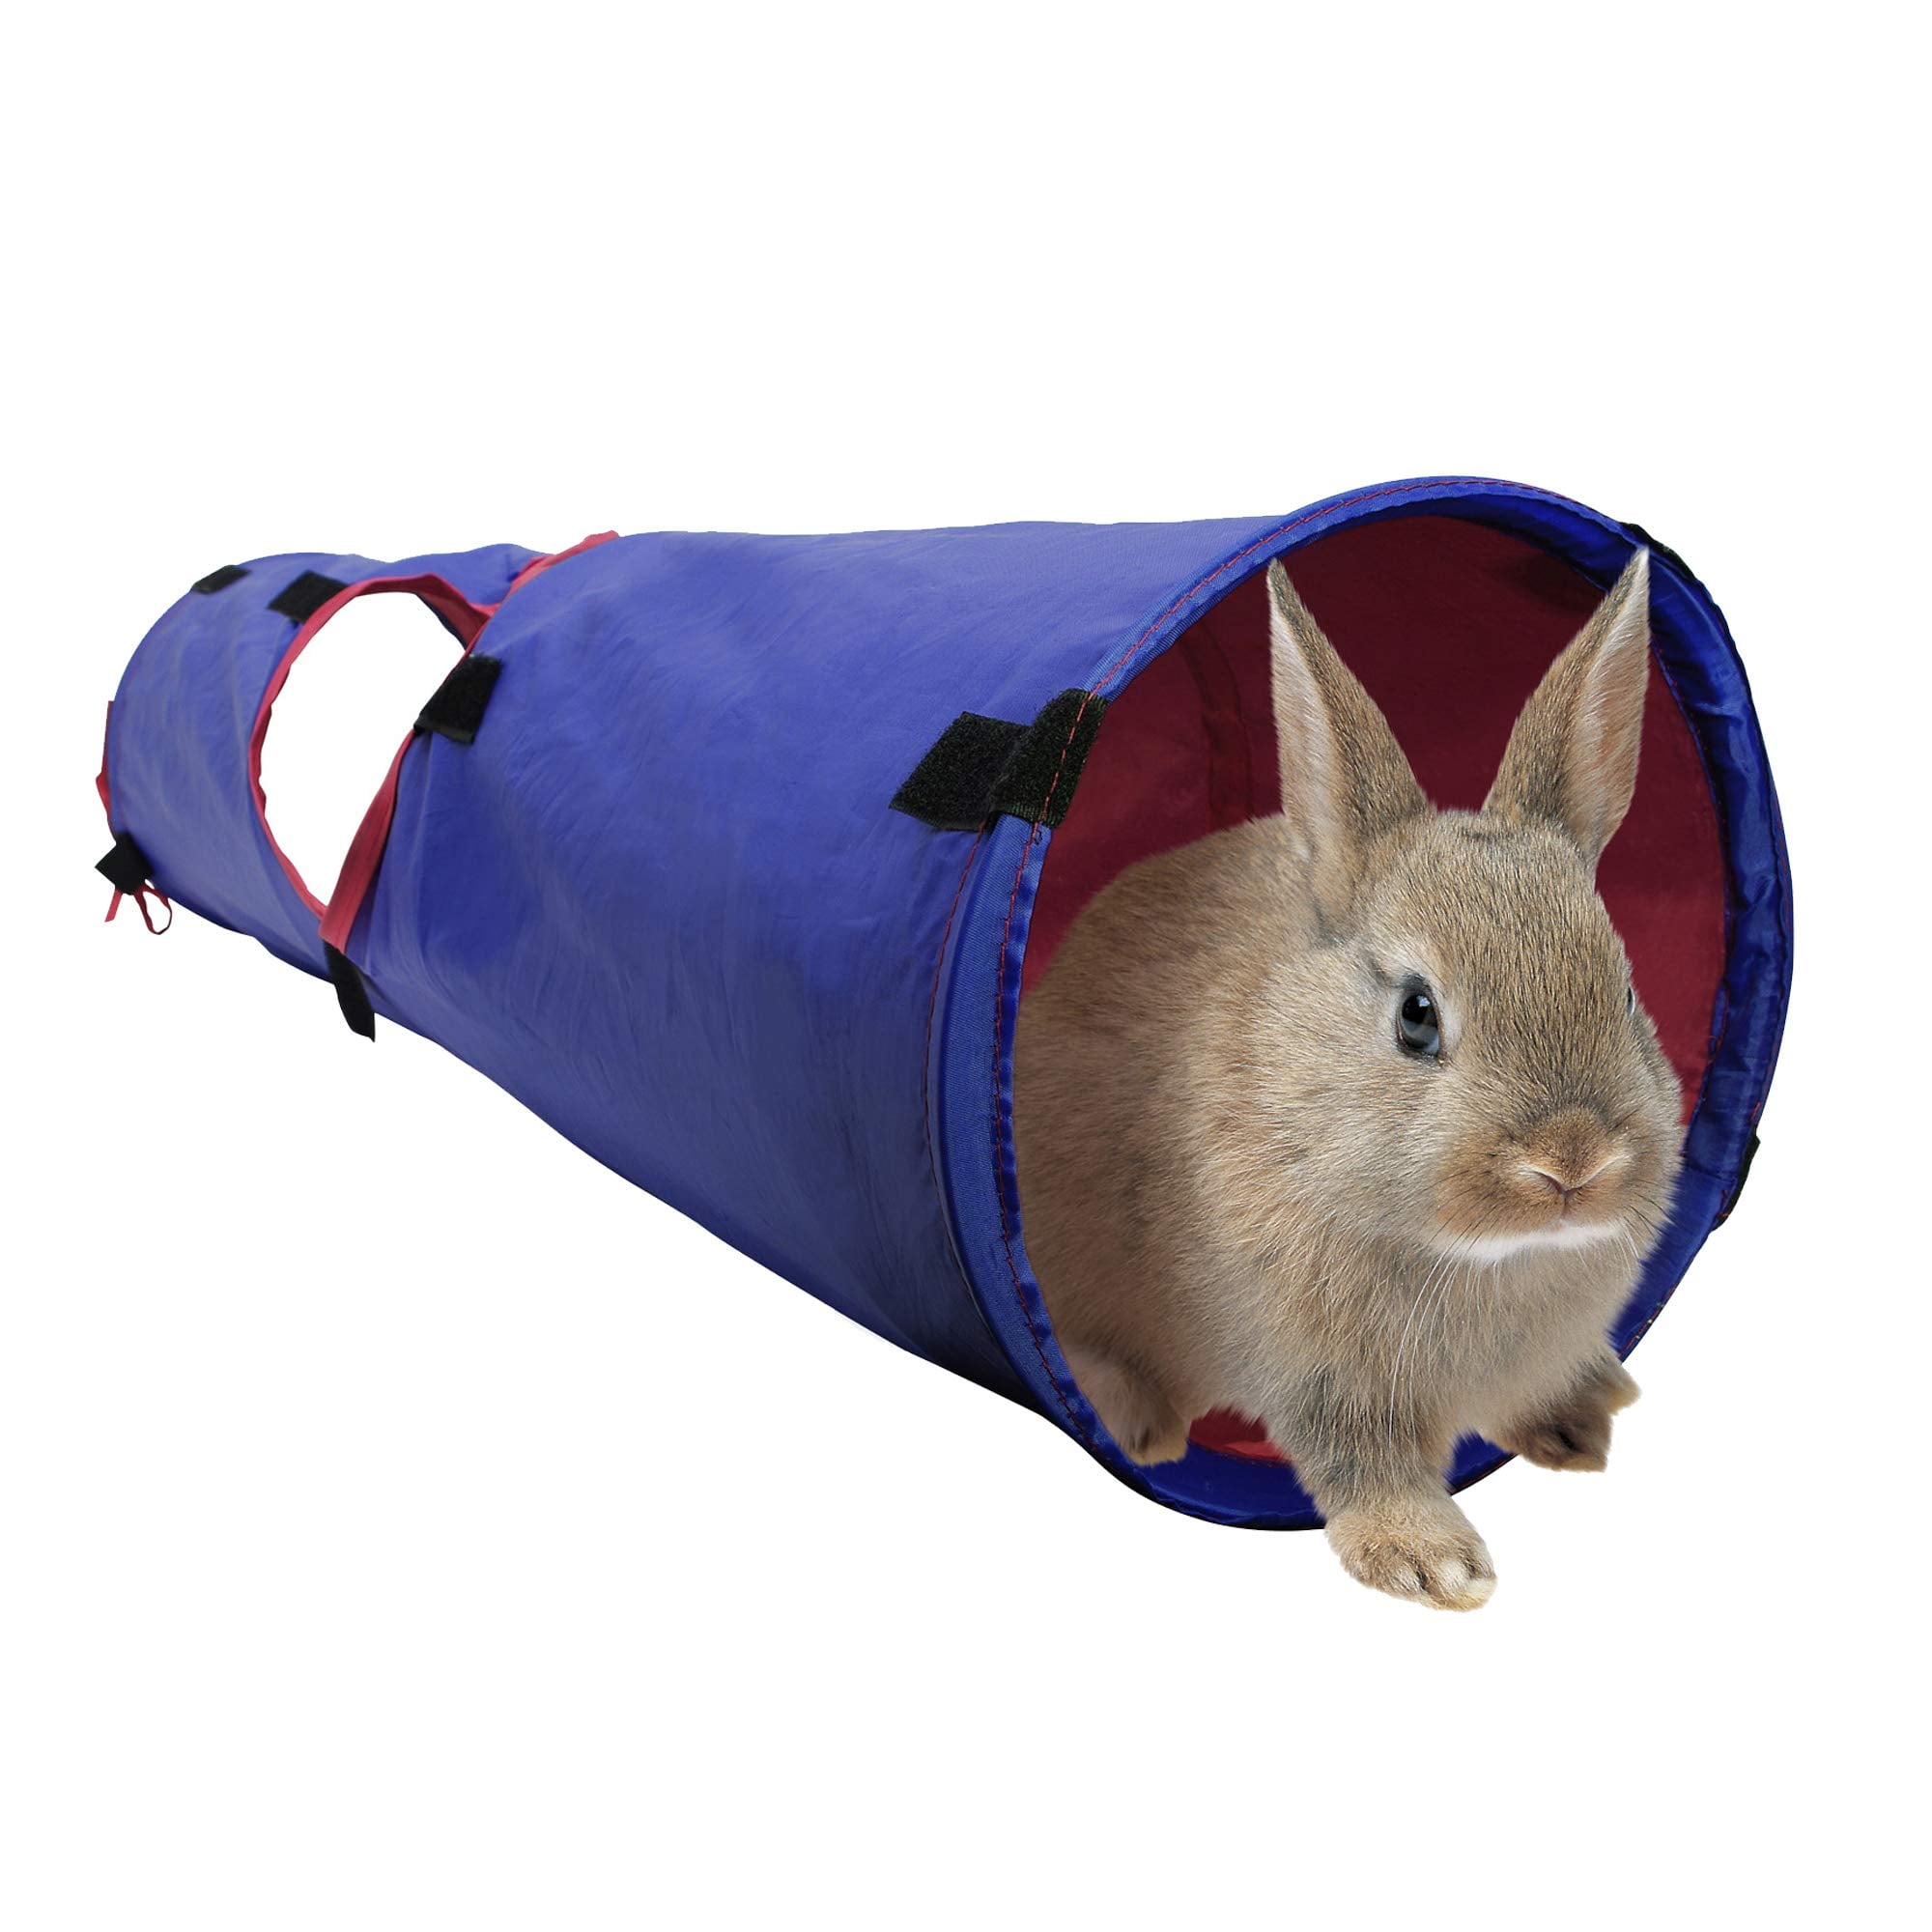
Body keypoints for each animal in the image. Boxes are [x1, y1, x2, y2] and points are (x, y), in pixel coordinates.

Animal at [1014, 549, 1680, 1610]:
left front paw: (1579, 1421)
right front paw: (1437, 1566)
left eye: (1621, 989)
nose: (1571, 1162)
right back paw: (1138, 1422)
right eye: (1415, 1014)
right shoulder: (1325, 1381)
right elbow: (1363, 1466)